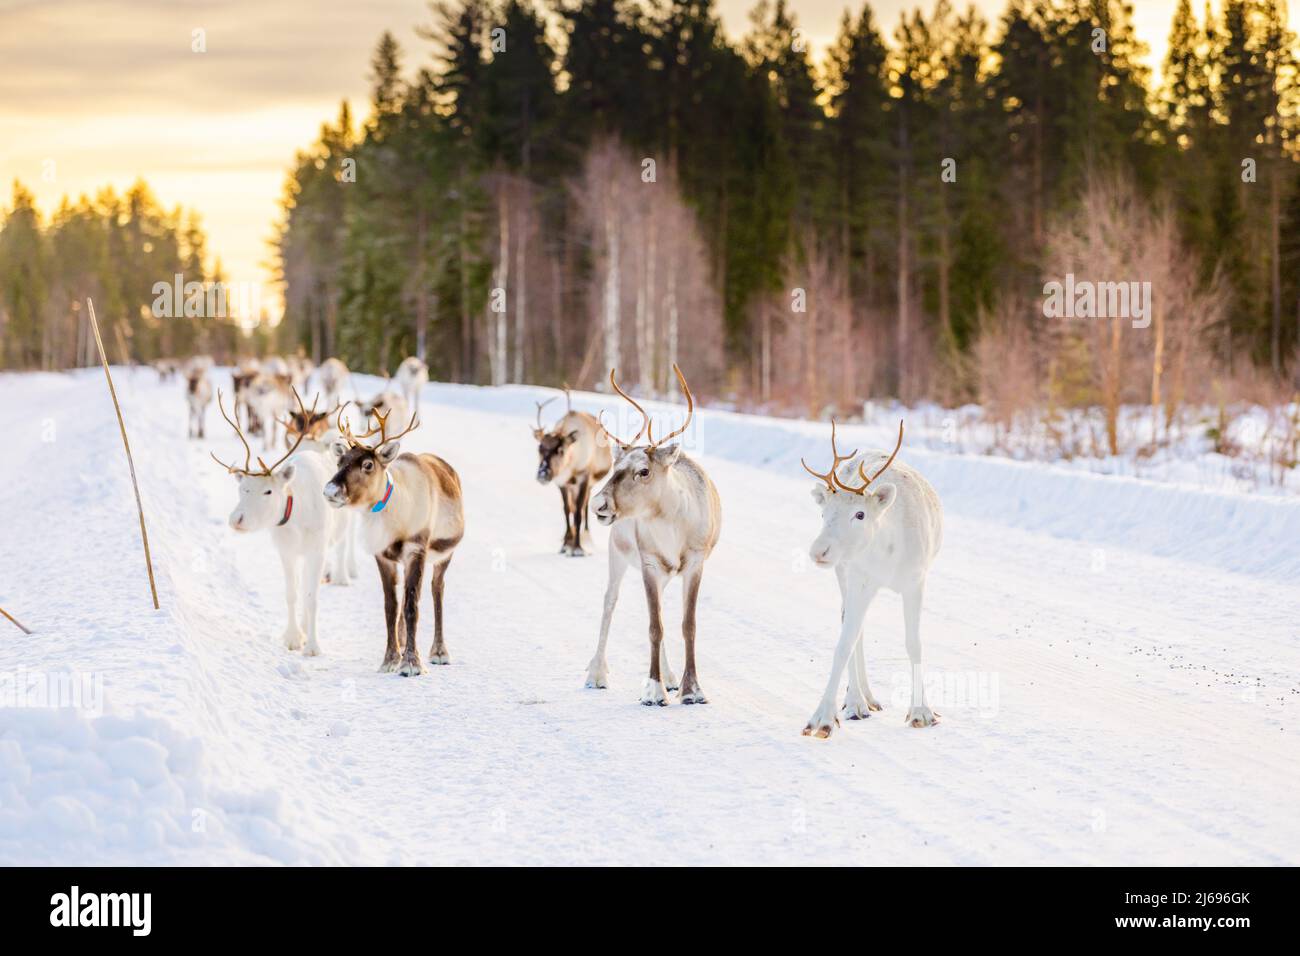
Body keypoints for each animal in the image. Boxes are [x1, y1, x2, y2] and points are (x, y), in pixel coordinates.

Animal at [213, 387, 343, 656]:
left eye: (268, 491)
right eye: (242, 488)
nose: (236, 519)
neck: (297, 515)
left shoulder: (317, 550)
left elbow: (312, 598)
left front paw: (312, 646)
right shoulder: (287, 550)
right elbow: (292, 594)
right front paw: (293, 637)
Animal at [323, 405, 465, 676]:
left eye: (368, 464)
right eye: (340, 462)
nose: (330, 491)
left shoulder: (416, 549)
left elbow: (412, 607)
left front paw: (412, 663)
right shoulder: (383, 555)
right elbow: (391, 606)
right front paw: (390, 659)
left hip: (445, 554)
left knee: (436, 589)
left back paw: (439, 651)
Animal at [533, 386, 612, 556]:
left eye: (560, 450)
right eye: (540, 448)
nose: (543, 474)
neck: (571, 465)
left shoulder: (584, 478)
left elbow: (578, 513)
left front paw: (578, 548)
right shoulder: (562, 483)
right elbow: (566, 510)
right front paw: (565, 545)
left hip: (589, 484)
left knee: (584, 507)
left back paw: (586, 539)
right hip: (572, 487)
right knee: (574, 507)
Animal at [585, 365, 721, 706]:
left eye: (643, 471)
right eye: (615, 466)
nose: (598, 503)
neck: (671, 524)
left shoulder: (695, 562)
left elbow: (687, 624)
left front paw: (691, 690)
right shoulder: (648, 563)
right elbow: (654, 627)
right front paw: (653, 691)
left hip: (666, 573)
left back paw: (671, 677)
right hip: (618, 554)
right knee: (610, 601)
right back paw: (596, 673)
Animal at [799, 420, 944, 739]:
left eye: (860, 514)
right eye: (824, 513)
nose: (818, 551)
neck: (886, 553)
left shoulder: (915, 581)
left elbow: (914, 643)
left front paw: (921, 712)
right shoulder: (859, 578)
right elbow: (844, 644)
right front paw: (823, 717)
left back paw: (867, 697)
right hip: (845, 573)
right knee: (853, 630)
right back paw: (857, 701)